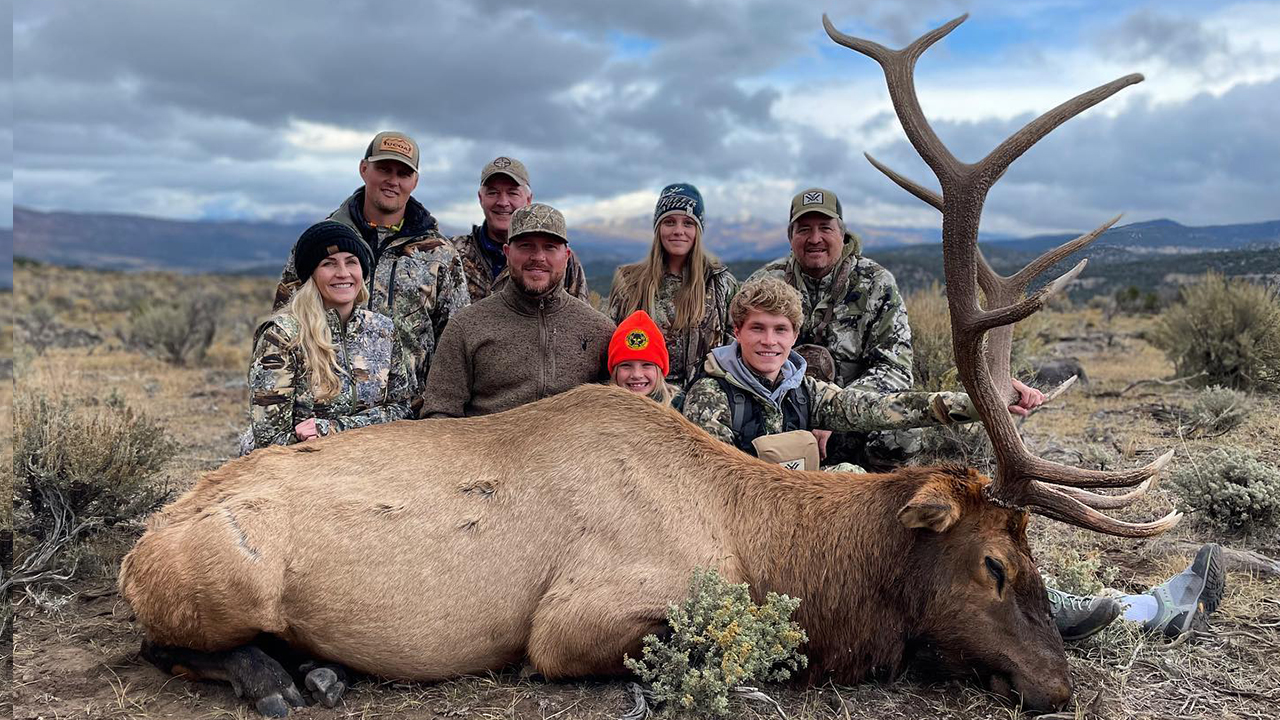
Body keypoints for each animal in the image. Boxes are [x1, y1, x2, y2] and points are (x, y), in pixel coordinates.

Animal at [118, 13, 1178, 718]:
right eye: (995, 562)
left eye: (1033, 557)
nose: (1057, 684)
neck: (770, 540)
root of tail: (137, 546)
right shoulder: (571, 624)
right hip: (219, 585)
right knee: (169, 645)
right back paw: (293, 675)